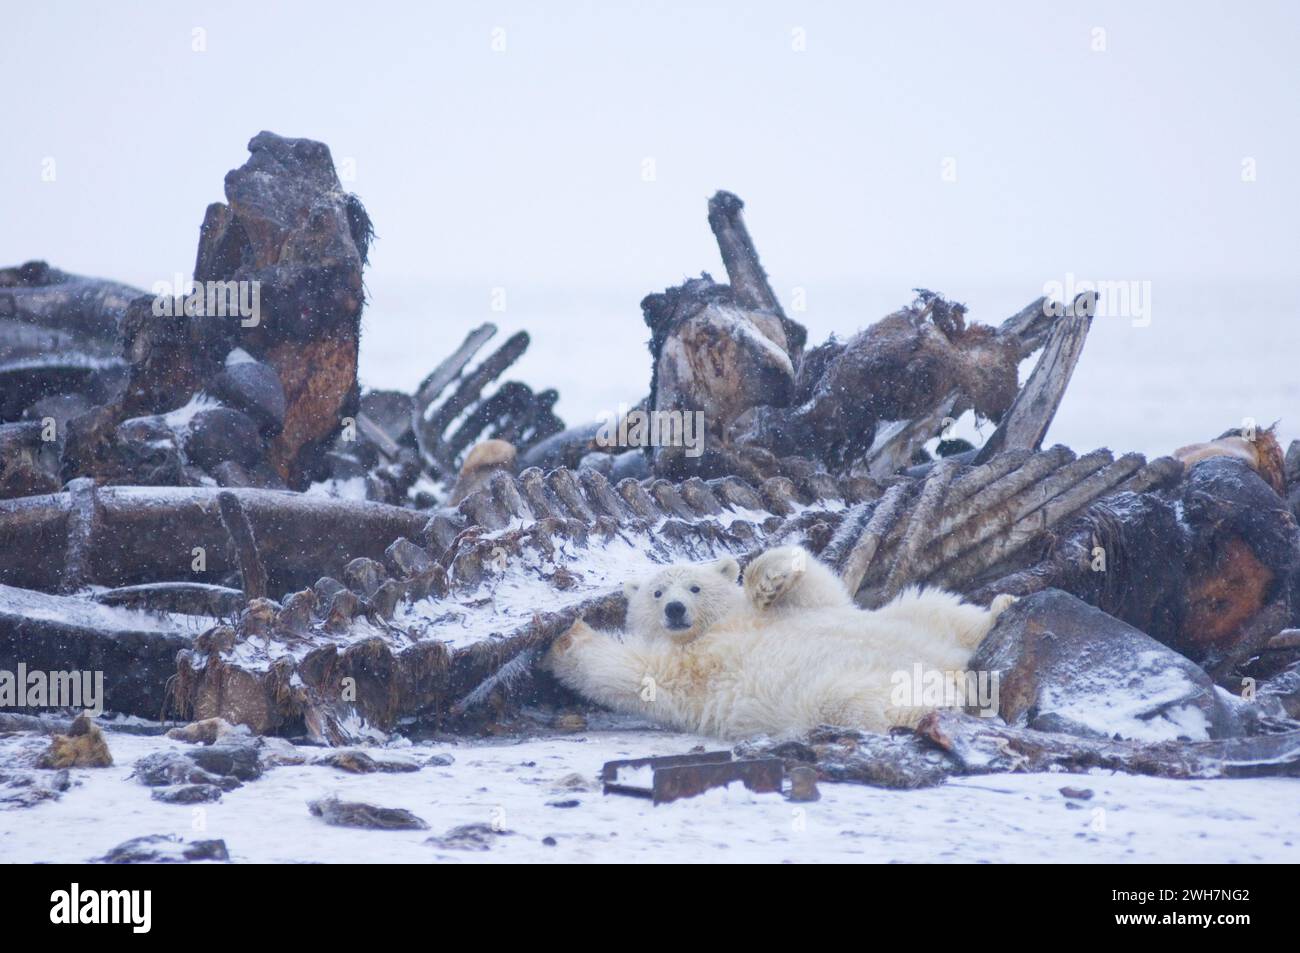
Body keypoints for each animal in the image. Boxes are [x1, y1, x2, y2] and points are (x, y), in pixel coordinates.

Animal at [543, 545, 1015, 740]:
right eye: (657, 593)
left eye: (694, 587)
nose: (674, 610)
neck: (718, 628)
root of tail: (952, 669)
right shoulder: (690, 673)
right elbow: (633, 671)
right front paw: (564, 636)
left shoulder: (798, 610)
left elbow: (819, 586)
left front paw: (768, 579)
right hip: (842, 689)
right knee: (864, 702)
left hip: (917, 624)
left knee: (939, 608)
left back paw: (1002, 607)